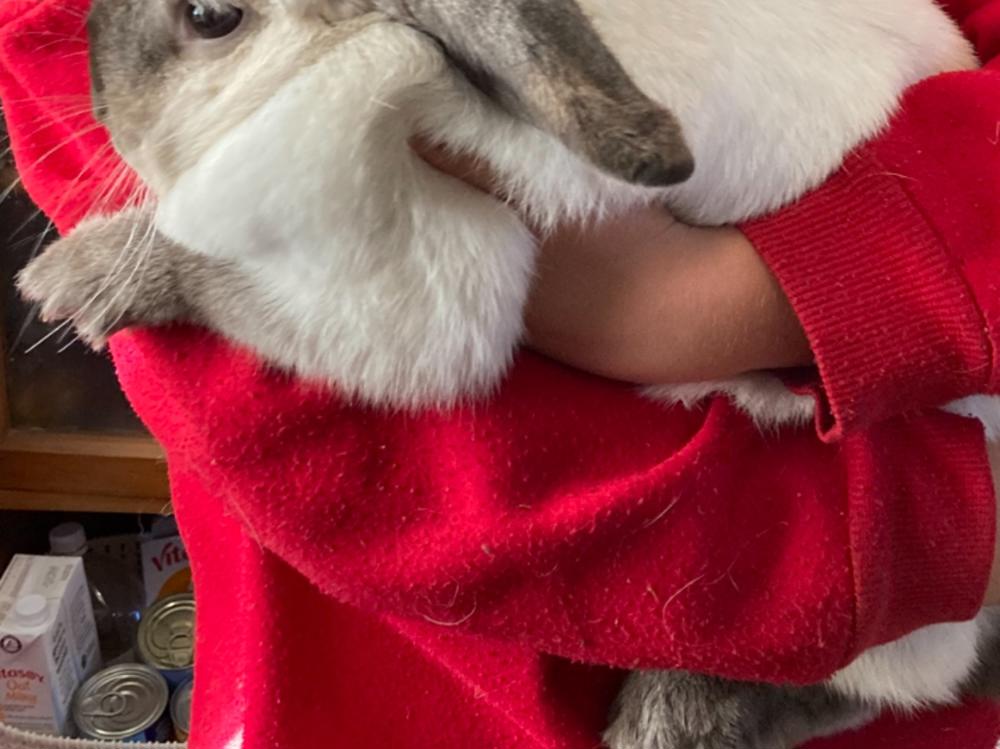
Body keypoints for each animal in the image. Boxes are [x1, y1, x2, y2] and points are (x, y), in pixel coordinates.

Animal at [17, 1, 1000, 747]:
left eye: (211, 17)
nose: (100, 102)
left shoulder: (424, 286)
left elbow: (224, 270)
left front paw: (74, 279)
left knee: (880, 678)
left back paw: (661, 721)